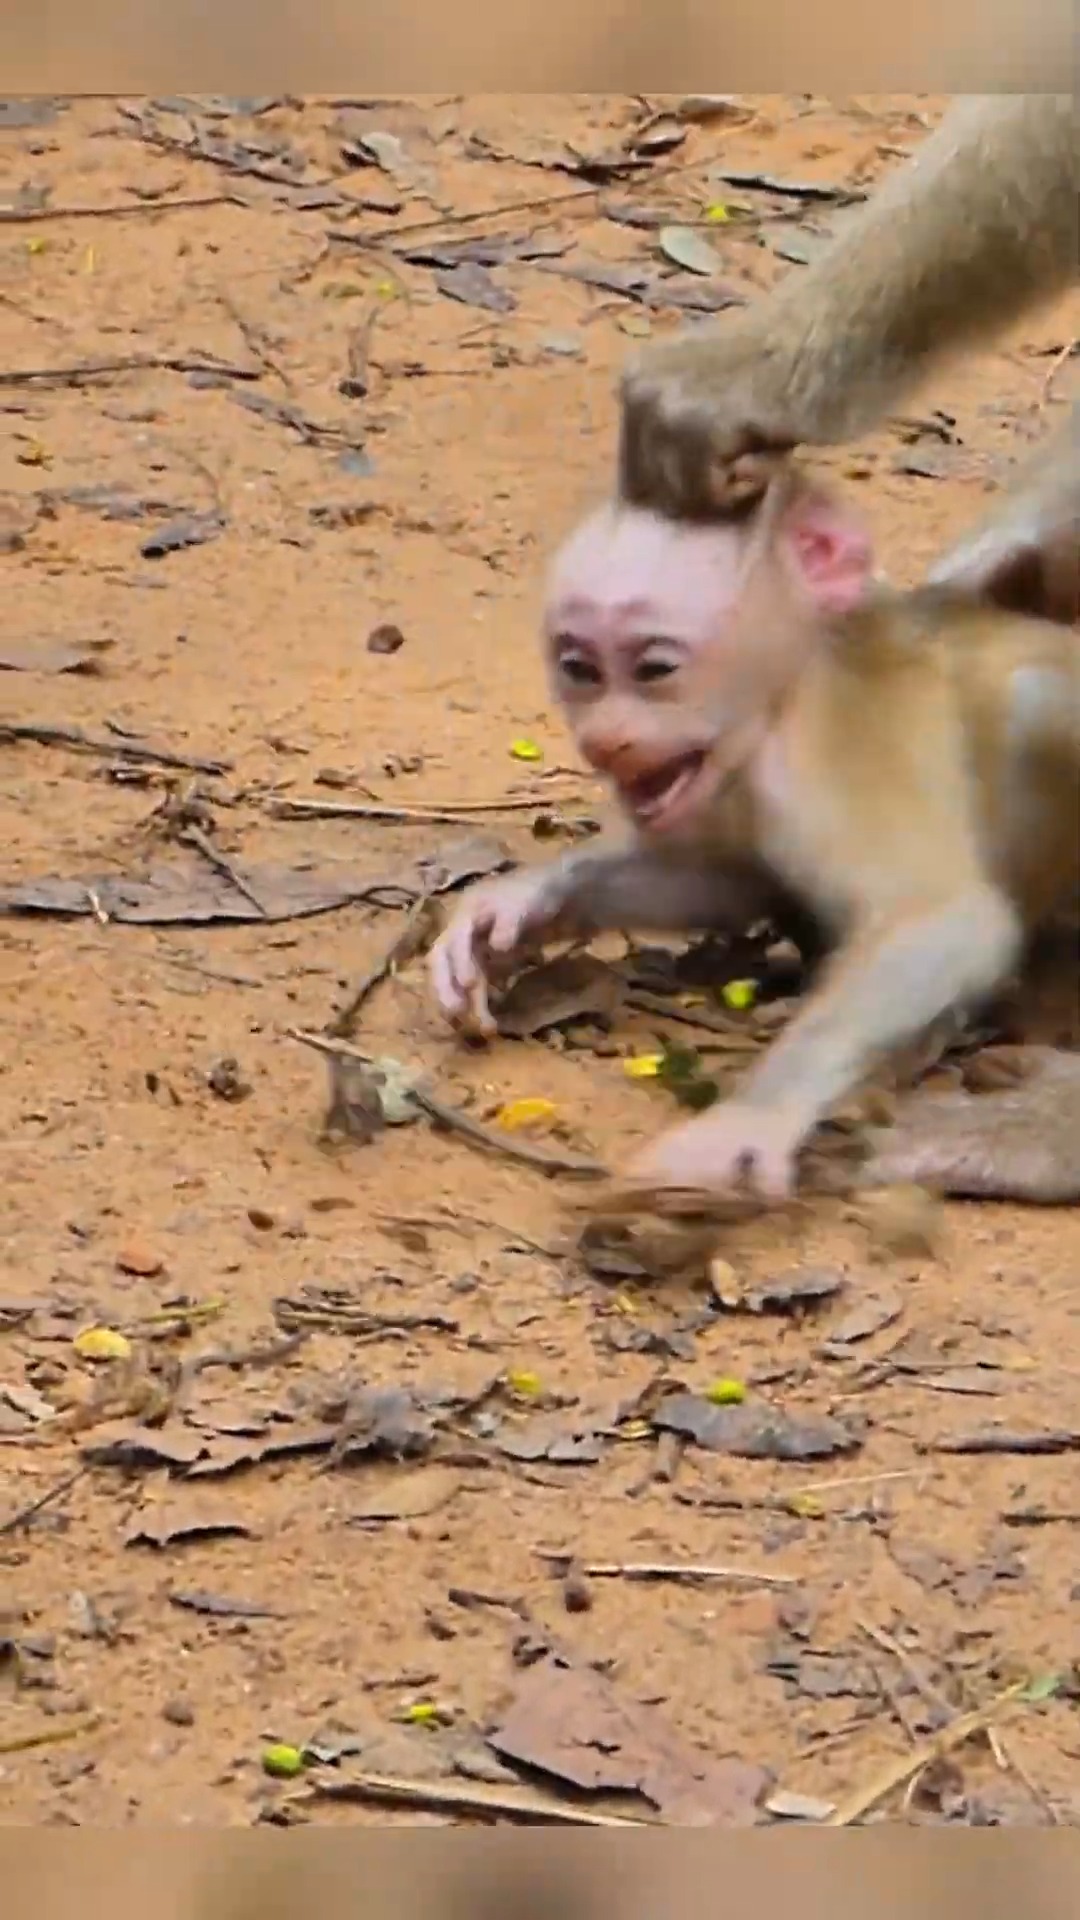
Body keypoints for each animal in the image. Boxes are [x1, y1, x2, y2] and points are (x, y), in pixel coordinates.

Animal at [429, 472, 1080, 1201]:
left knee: (1034, 702)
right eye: (580, 668)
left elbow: (944, 919)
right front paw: (528, 903)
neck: (780, 702)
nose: (606, 739)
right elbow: (742, 882)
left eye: (654, 669)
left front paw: (748, 1119)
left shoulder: (827, 758)